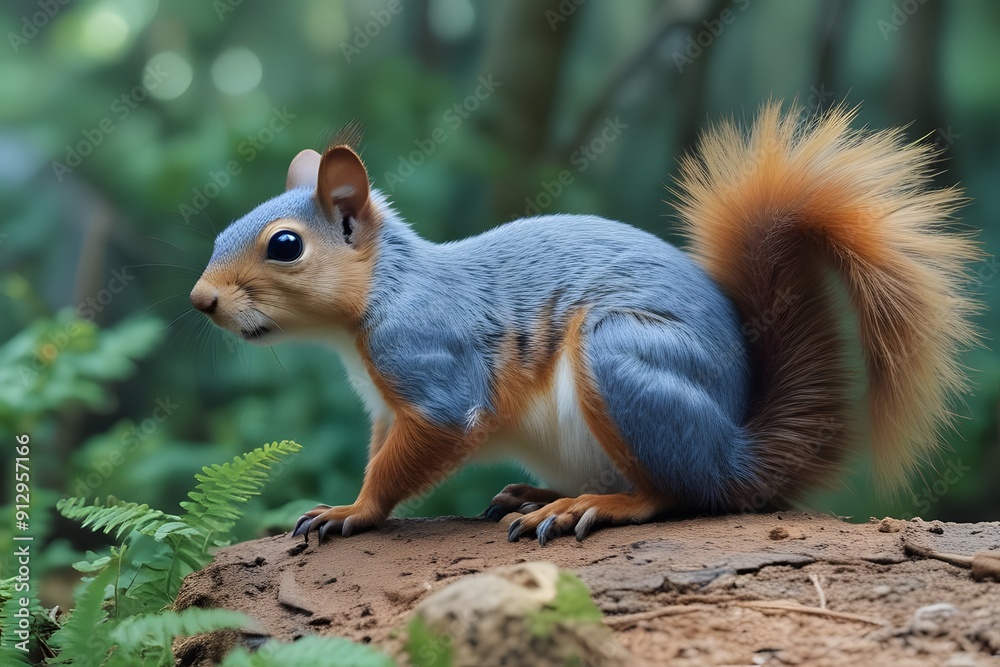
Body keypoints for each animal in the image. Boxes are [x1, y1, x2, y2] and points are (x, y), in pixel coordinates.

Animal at [190, 104, 978, 546]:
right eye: (225, 227)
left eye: (285, 244)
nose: (201, 300)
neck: (386, 291)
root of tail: (740, 452)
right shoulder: (386, 405)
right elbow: (382, 449)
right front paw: (351, 502)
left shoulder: (434, 371)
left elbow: (407, 457)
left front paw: (352, 511)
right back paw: (540, 495)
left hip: (622, 358)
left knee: (679, 494)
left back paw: (590, 507)